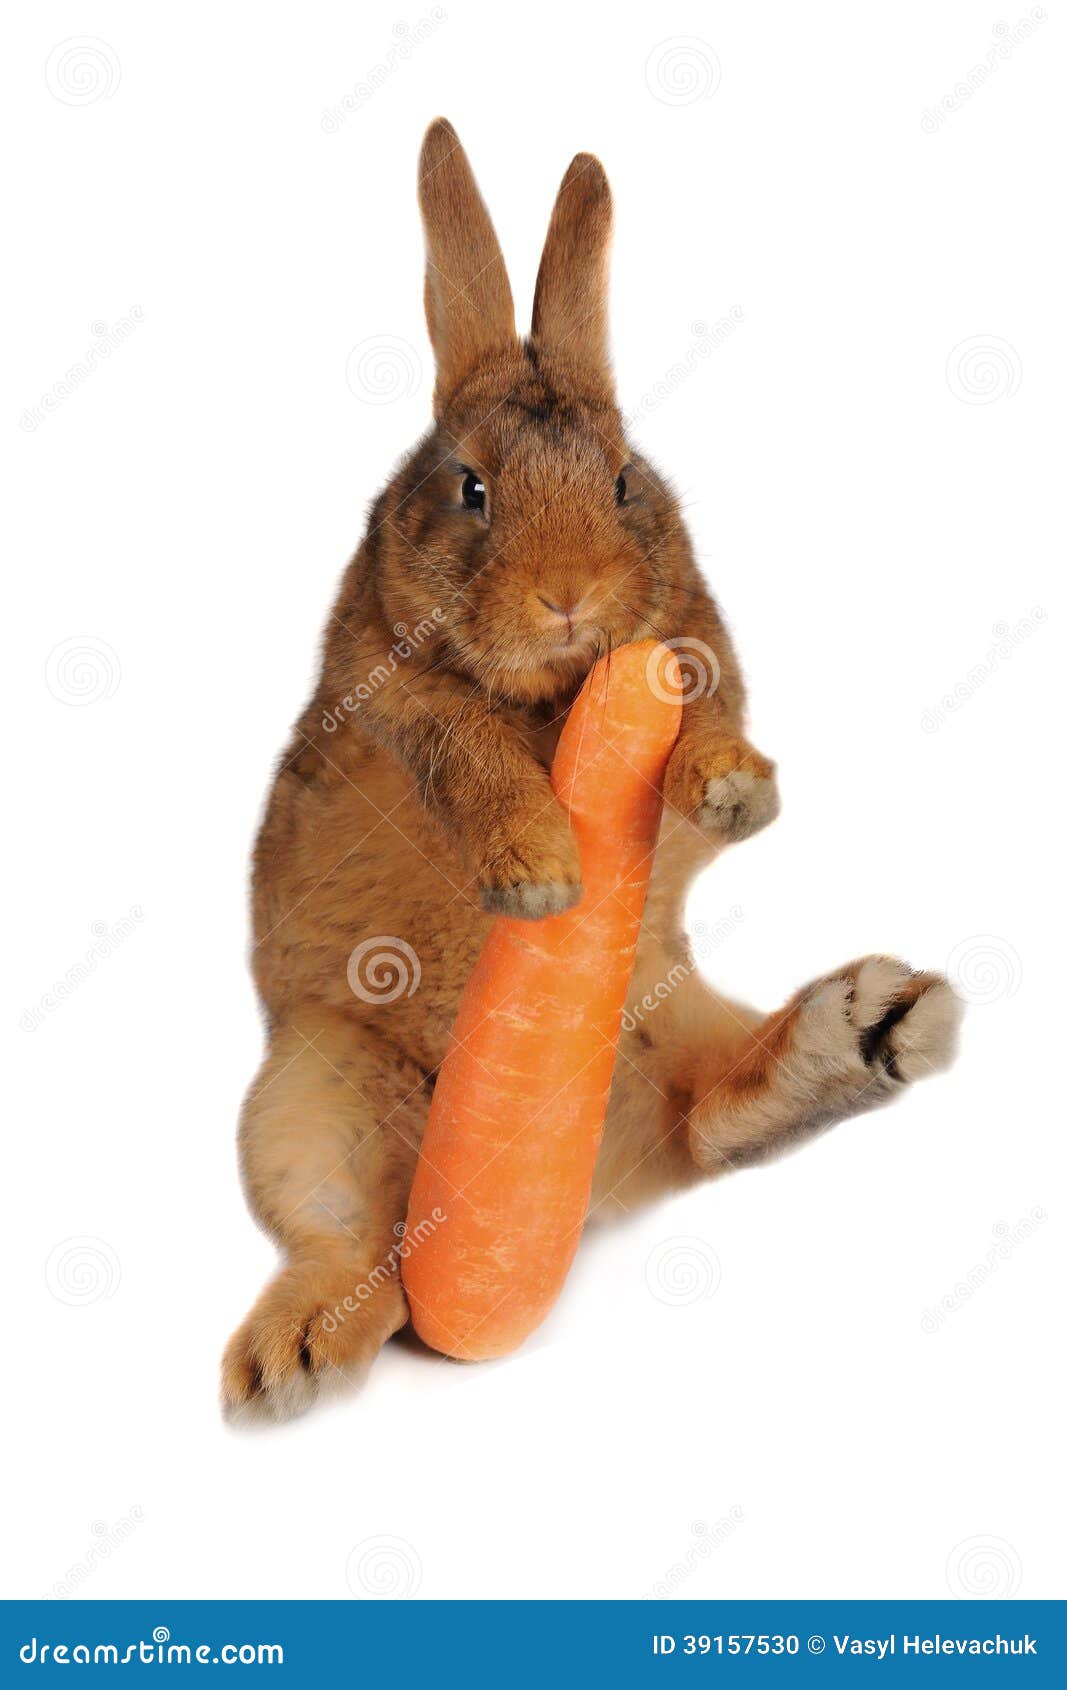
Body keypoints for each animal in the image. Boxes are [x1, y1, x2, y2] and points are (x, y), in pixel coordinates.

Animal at [222, 119, 961, 1421]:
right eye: (469, 487)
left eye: (621, 479)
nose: (565, 595)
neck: (555, 691)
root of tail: (593, 1172)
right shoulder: (397, 704)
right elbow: (471, 755)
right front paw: (539, 874)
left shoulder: (687, 655)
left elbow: (710, 711)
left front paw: (734, 791)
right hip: (309, 1090)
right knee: (354, 1247)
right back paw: (291, 1358)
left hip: (661, 1019)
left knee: (708, 1122)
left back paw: (871, 1028)